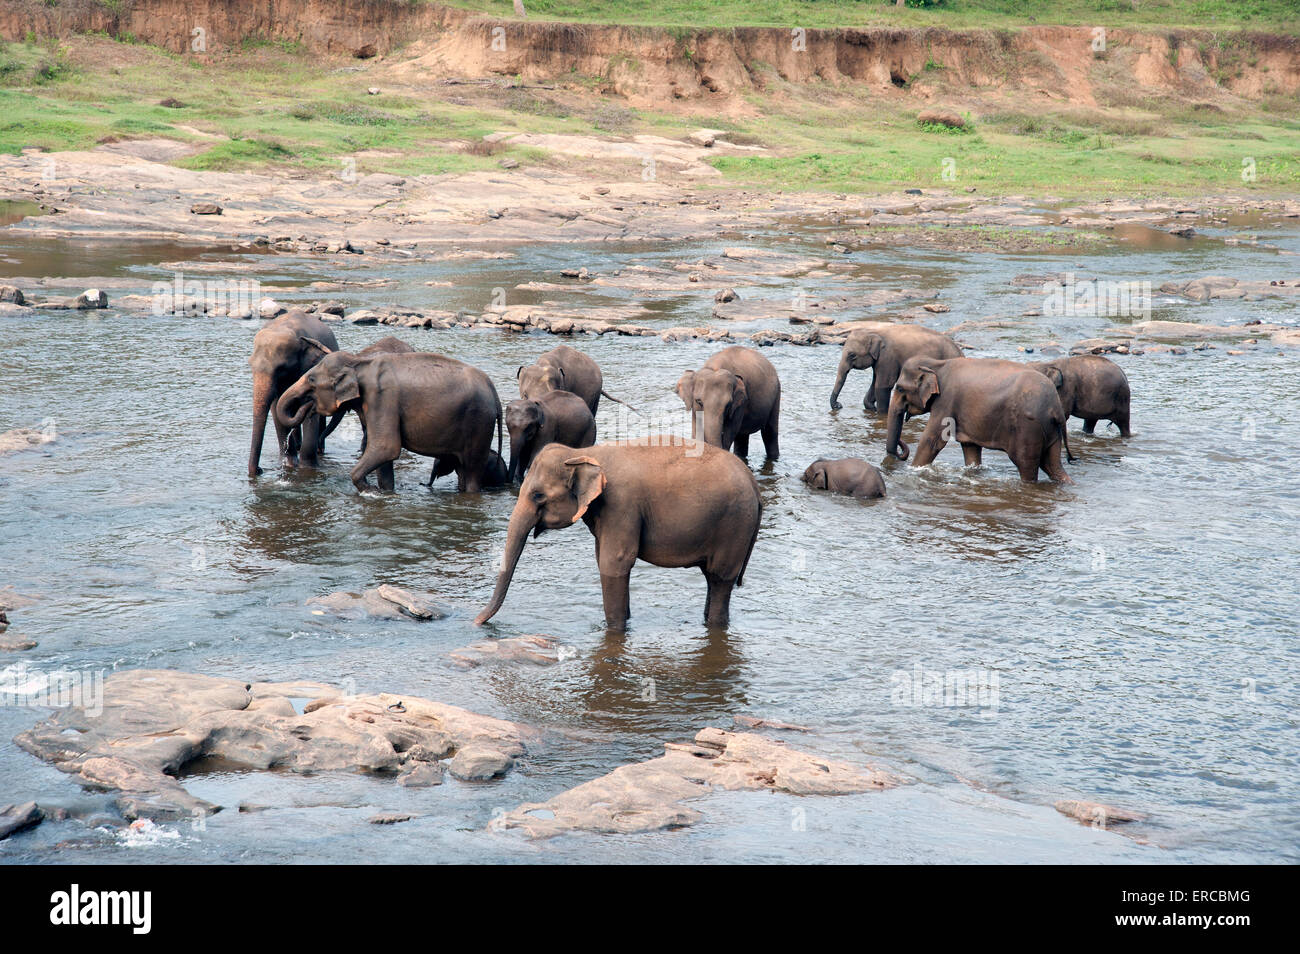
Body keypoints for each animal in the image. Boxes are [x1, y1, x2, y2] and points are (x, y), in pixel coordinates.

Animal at [248, 310, 339, 476]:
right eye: (250, 365)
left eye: (282, 368)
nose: (259, 470)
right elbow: (277, 407)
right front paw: (289, 464)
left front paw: (307, 467)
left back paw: (319, 450)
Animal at [275, 351, 502, 493]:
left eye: (311, 380)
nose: (307, 406)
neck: (359, 362)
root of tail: (493, 390)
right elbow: (383, 457)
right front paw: (384, 491)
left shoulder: (382, 399)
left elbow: (386, 447)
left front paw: (370, 490)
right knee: (463, 471)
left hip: (479, 423)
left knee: (472, 471)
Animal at [474, 437, 762, 631]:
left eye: (537, 495)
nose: (476, 622)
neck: (583, 453)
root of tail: (753, 484)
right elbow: (602, 557)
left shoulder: (621, 505)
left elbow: (614, 562)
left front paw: (613, 631)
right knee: (712, 579)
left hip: (734, 524)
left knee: (720, 579)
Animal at [830, 325, 962, 412]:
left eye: (852, 355)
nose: (839, 405)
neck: (873, 331)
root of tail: (960, 352)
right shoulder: (880, 360)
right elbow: (875, 382)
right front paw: (872, 408)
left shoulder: (888, 357)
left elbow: (884, 385)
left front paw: (881, 414)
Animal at [885, 356, 1074, 483]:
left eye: (900, 388)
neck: (937, 364)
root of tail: (1055, 407)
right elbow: (970, 447)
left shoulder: (946, 400)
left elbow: (932, 441)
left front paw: (913, 471)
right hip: (1051, 429)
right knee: (1053, 465)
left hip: (1028, 427)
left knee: (1027, 465)